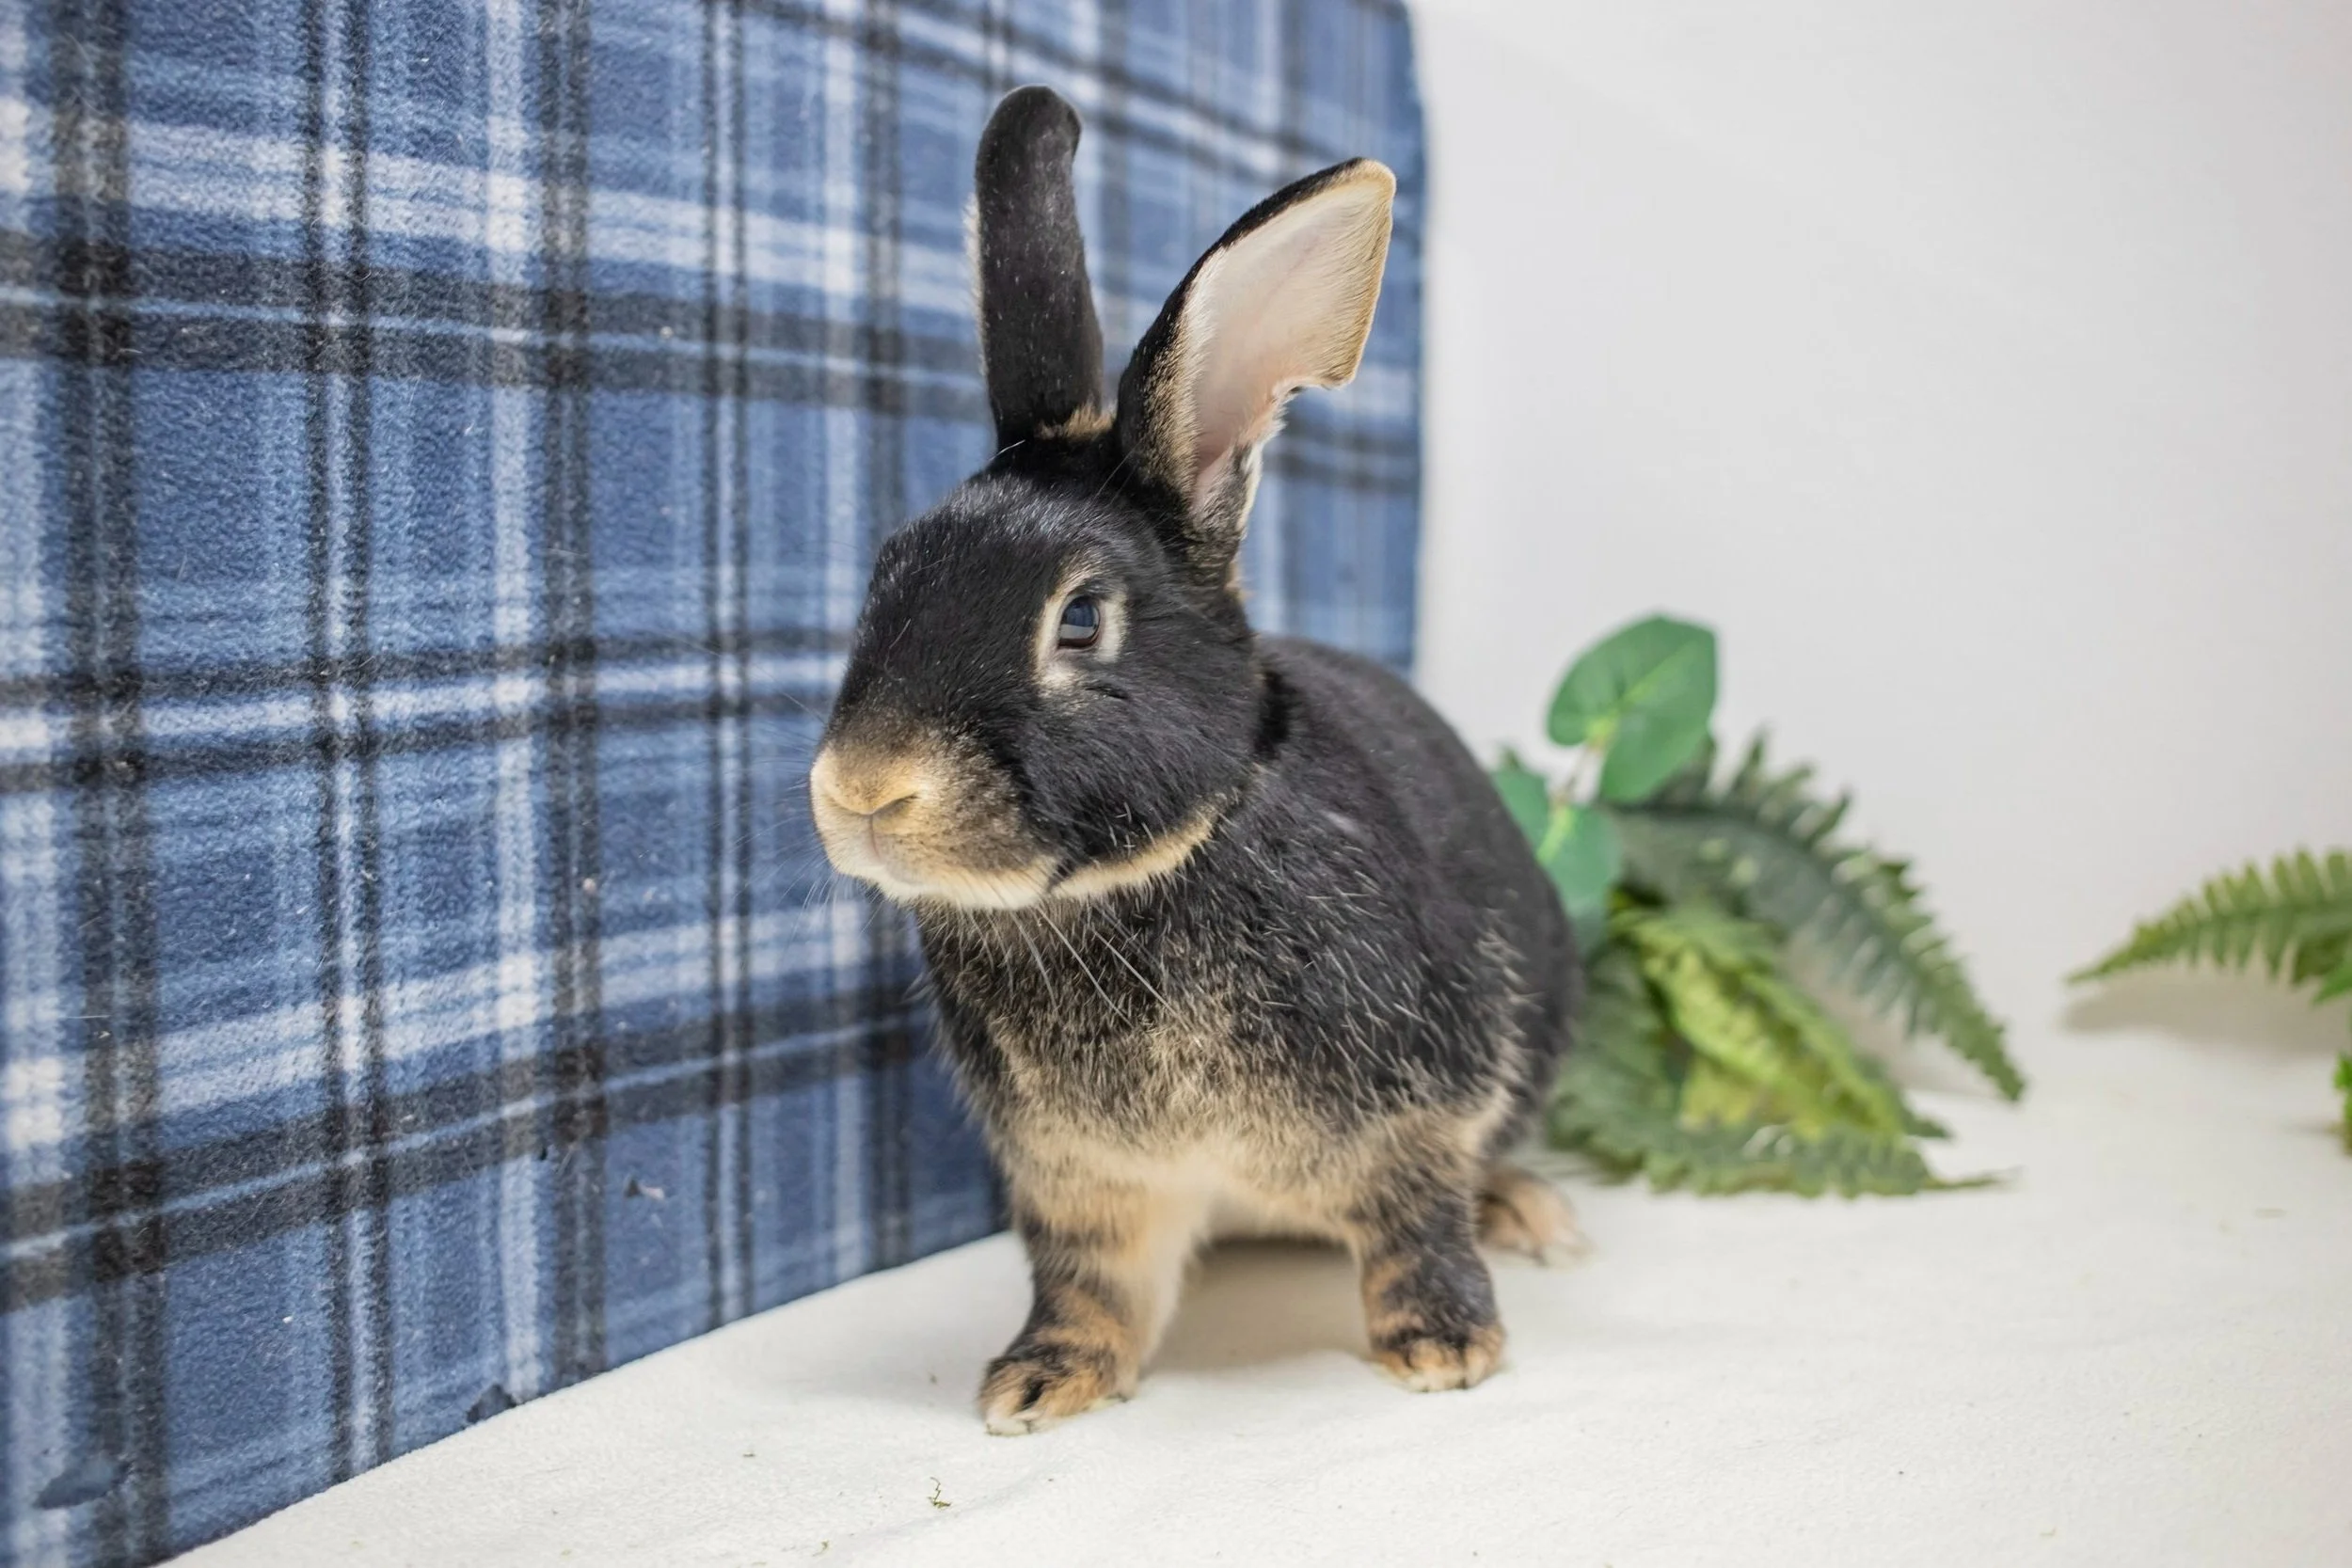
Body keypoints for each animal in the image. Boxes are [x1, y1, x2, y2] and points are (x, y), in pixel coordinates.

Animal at [808, 85, 1581, 1436]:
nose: (861, 788)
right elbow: (1091, 1281)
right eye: (887, 572)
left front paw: (1445, 1346)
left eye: (1079, 619)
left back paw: (1528, 1209)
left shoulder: (1410, 1117)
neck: (1146, 872)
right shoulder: (1080, 1181)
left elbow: (1415, 1220)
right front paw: (1039, 1380)